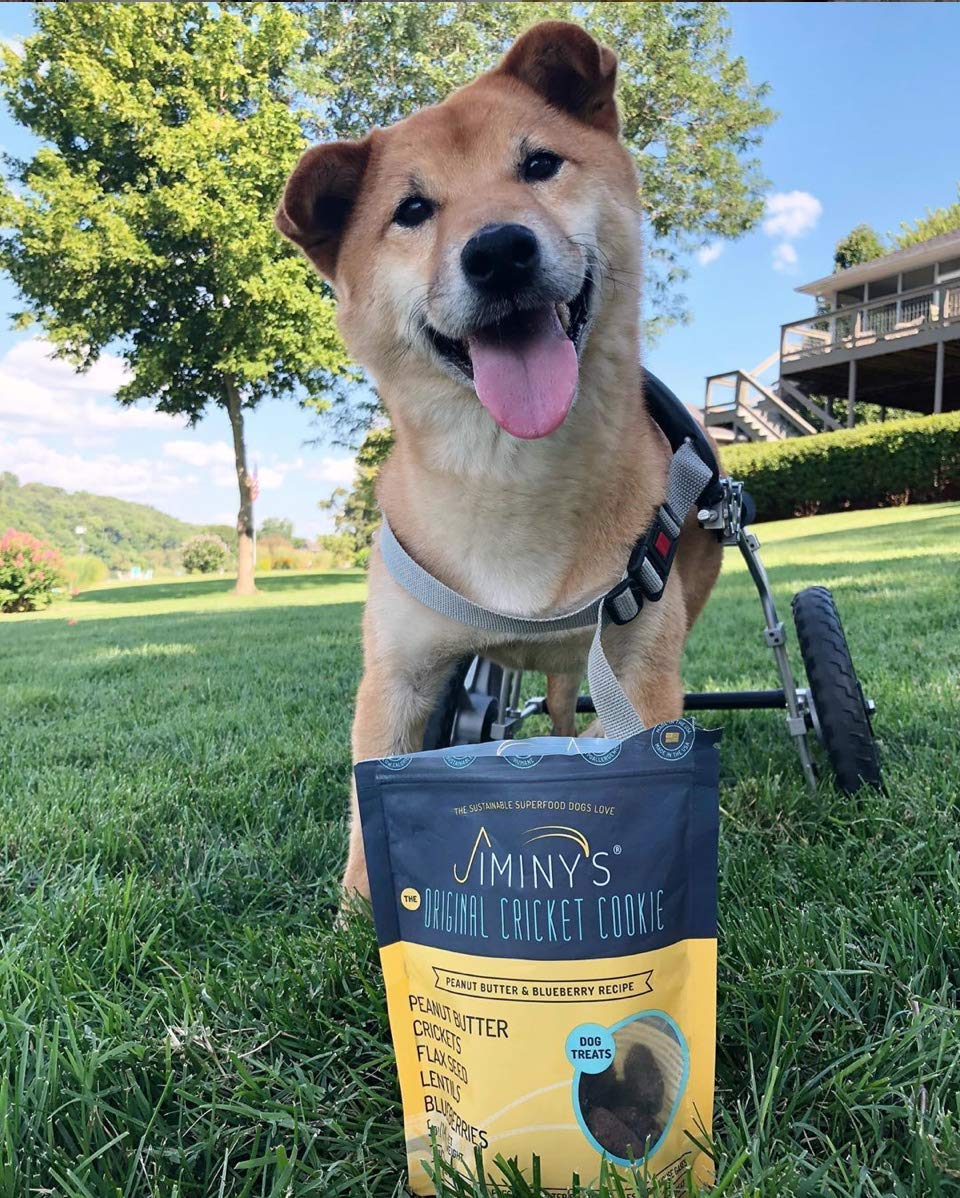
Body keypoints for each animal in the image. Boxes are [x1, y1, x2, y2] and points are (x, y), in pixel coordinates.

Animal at [275, 21, 719, 900]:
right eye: (413, 210)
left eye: (539, 164)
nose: (501, 251)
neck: (516, 476)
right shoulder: (399, 676)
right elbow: (368, 799)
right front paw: (357, 912)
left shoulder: (643, 667)